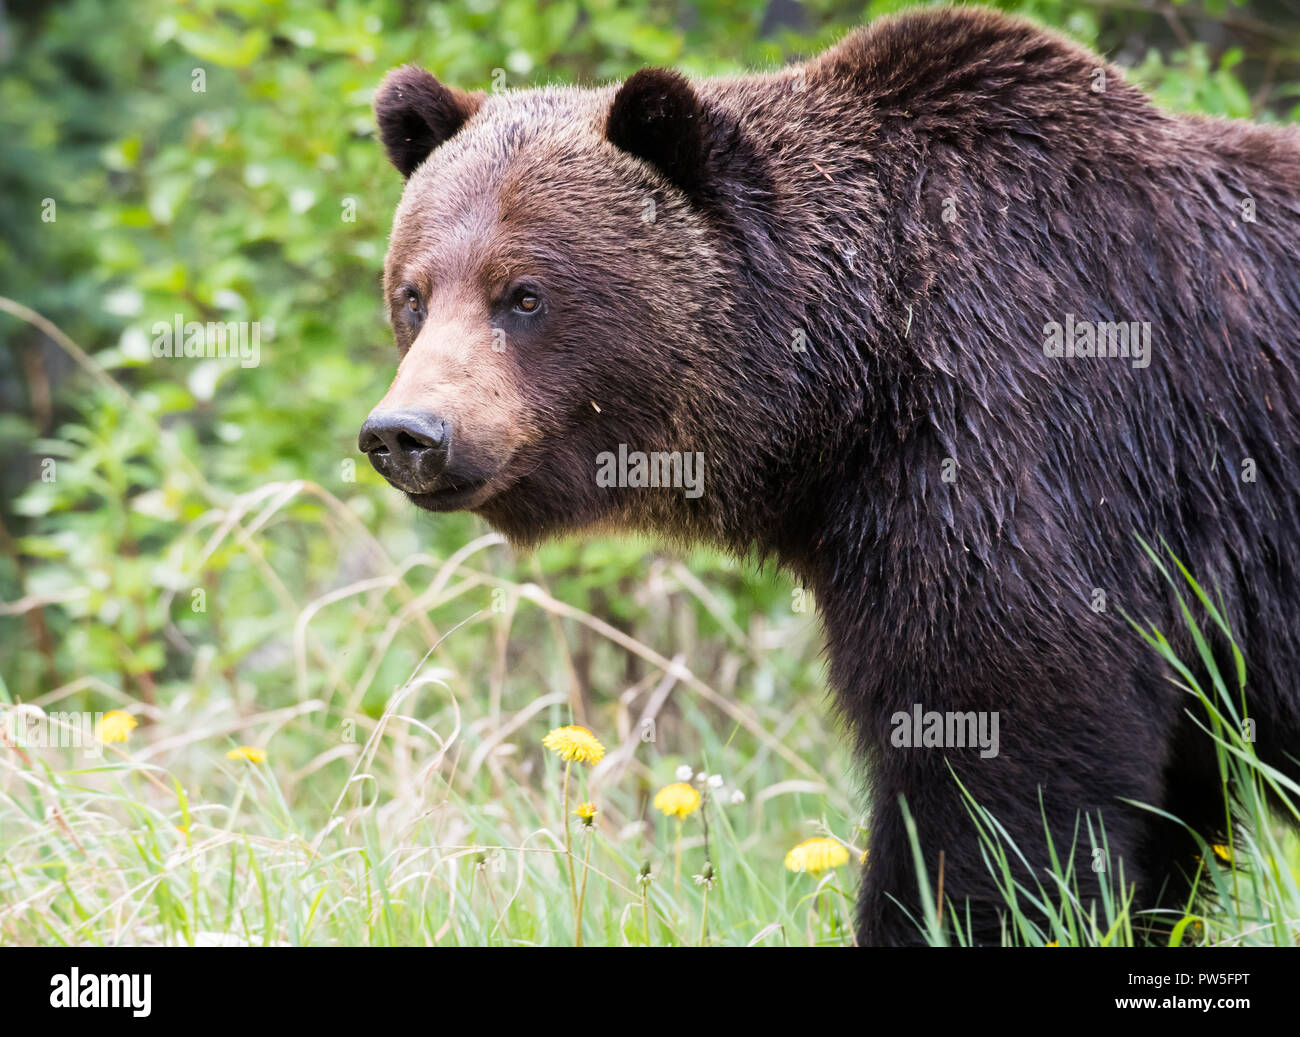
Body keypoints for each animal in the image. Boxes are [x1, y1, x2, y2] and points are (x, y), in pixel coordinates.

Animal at [358, 5, 1300, 945]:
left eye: (523, 294)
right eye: (414, 293)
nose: (406, 432)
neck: (851, 388)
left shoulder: (1026, 436)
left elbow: (1002, 737)